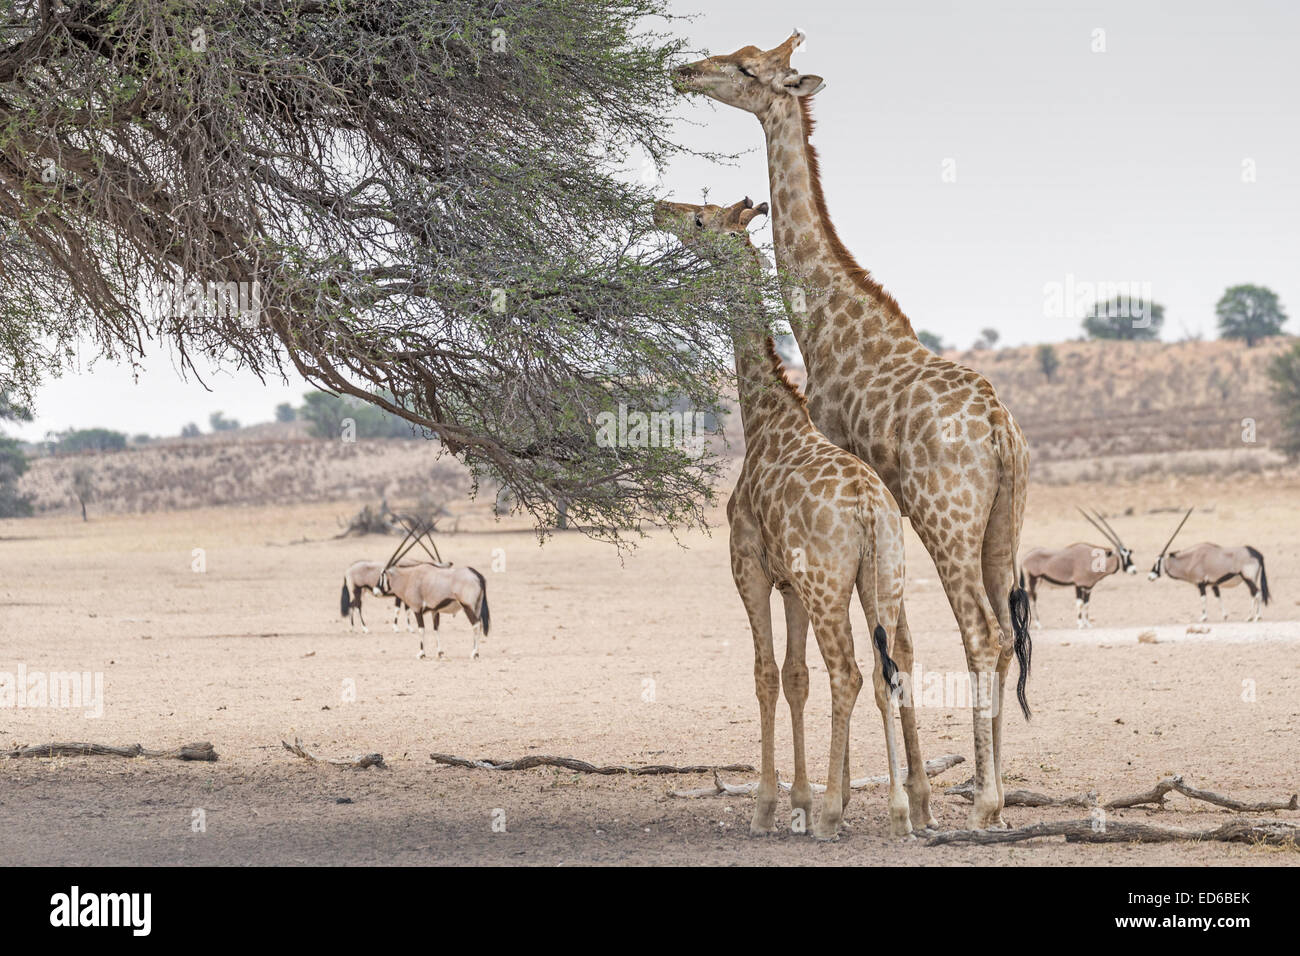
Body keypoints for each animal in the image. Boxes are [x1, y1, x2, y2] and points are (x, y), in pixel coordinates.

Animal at [655, 196, 912, 841]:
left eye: (701, 219)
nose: (659, 208)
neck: (765, 418)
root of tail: (870, 509)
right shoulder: (791, 585)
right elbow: (796, 677)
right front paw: (797, 799)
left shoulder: (749, 567)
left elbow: (766, 674)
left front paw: (769, 806)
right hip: (882, 580)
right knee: (885, 673)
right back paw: (899, 812)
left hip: (828, 586)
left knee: (849, 673)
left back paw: (833, 813)